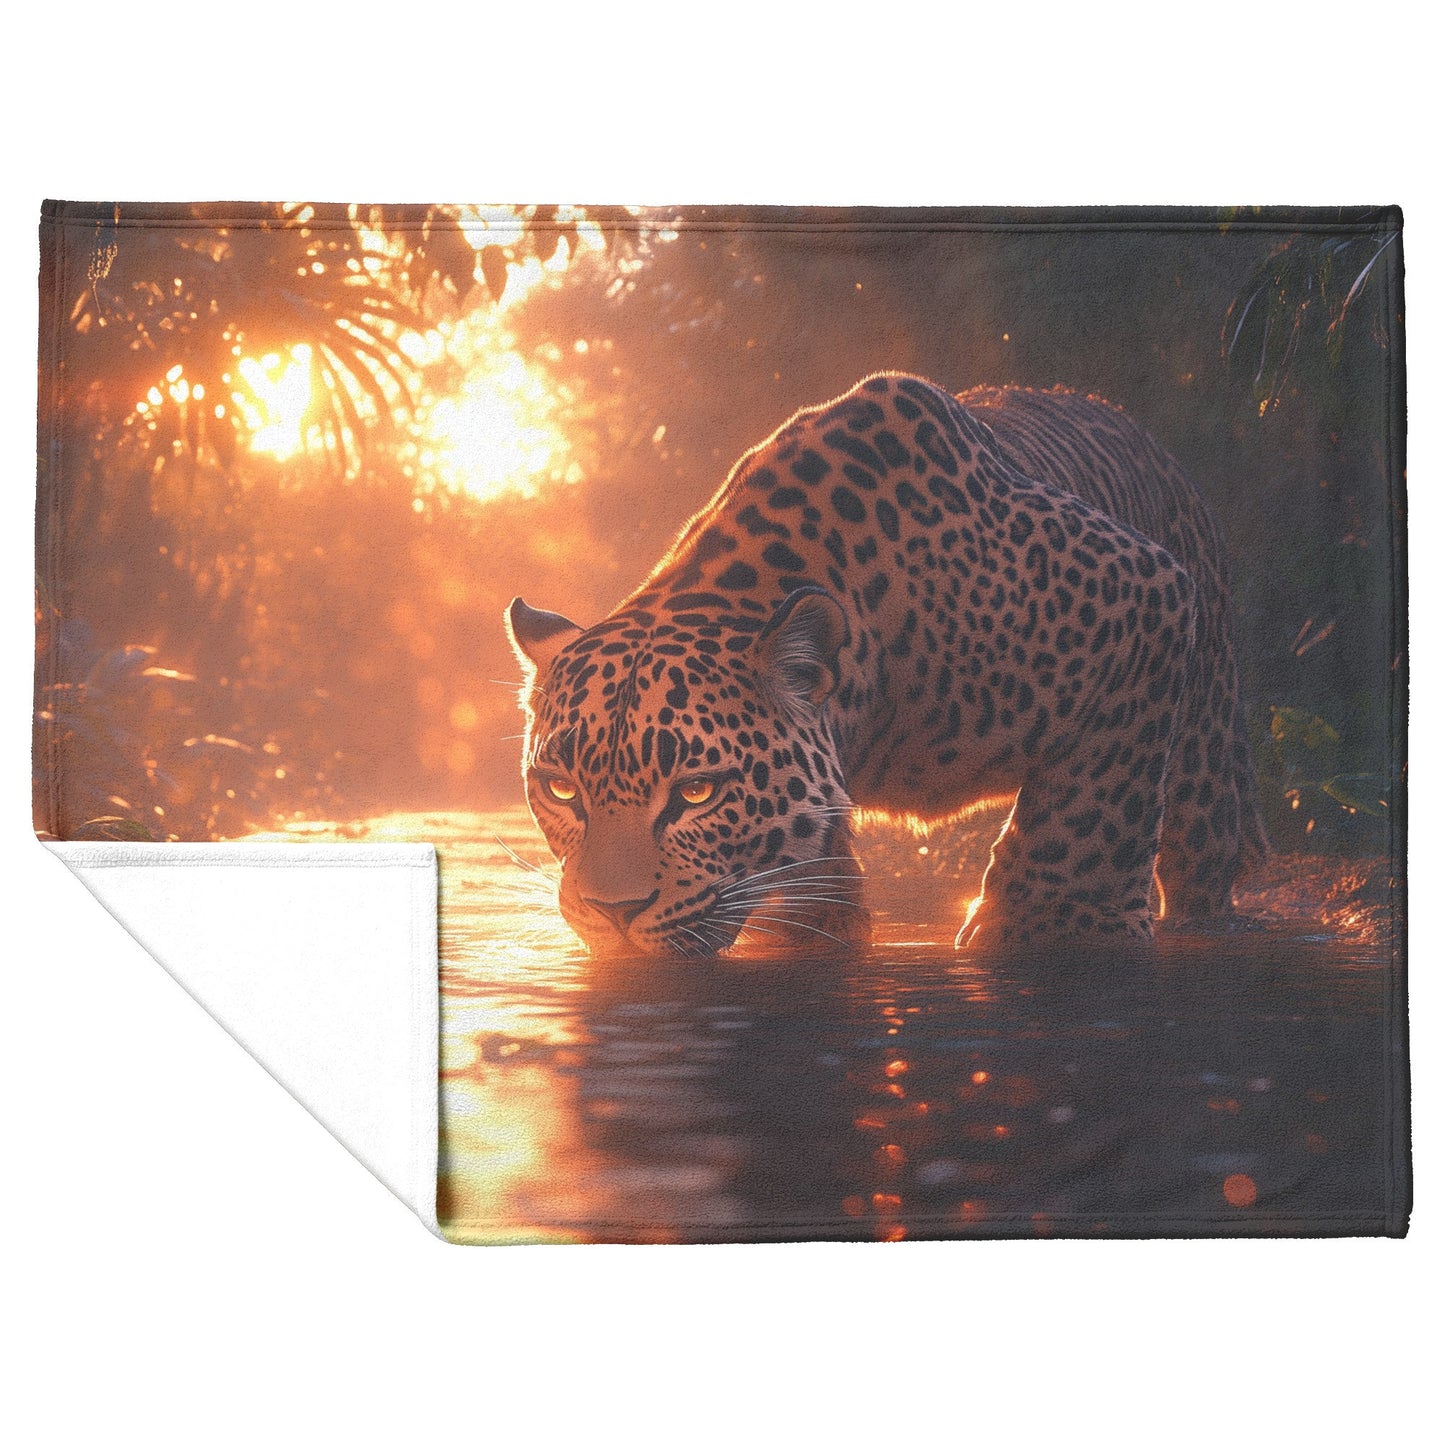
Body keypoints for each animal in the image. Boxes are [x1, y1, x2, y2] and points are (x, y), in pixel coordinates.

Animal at [506, 373, 1264, 958]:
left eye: (696, 793)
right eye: (562, 790)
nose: (611, 913)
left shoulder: (1139, 594)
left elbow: (1089, 819)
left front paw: (1050, 926)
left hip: (1203, 737)